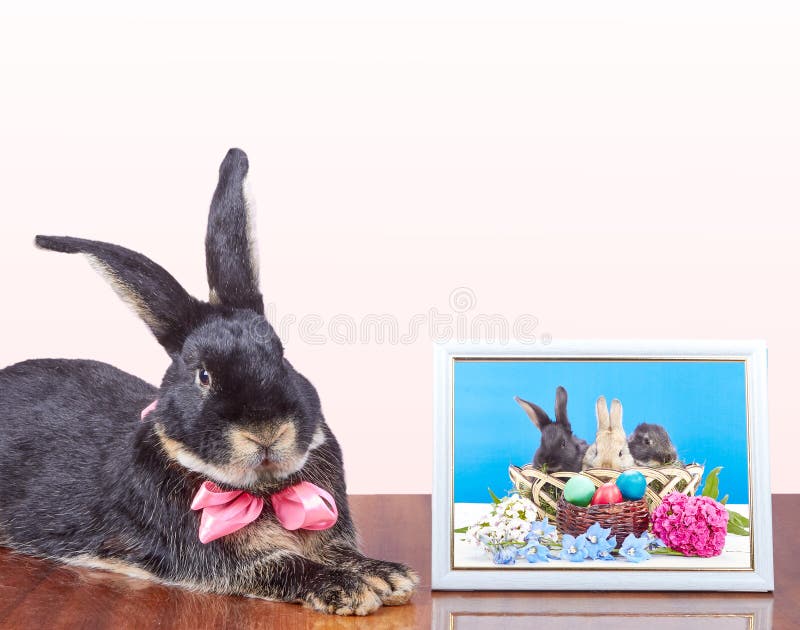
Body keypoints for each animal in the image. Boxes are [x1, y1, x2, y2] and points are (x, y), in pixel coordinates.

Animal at [0, 149, 417, 616]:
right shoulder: (207, 556)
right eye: (203, 375)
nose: (266, 431)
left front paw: (388, 575)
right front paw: (351, 587)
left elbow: (332, 549)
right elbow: (280, 563)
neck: (263, 490)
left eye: (281, 354)